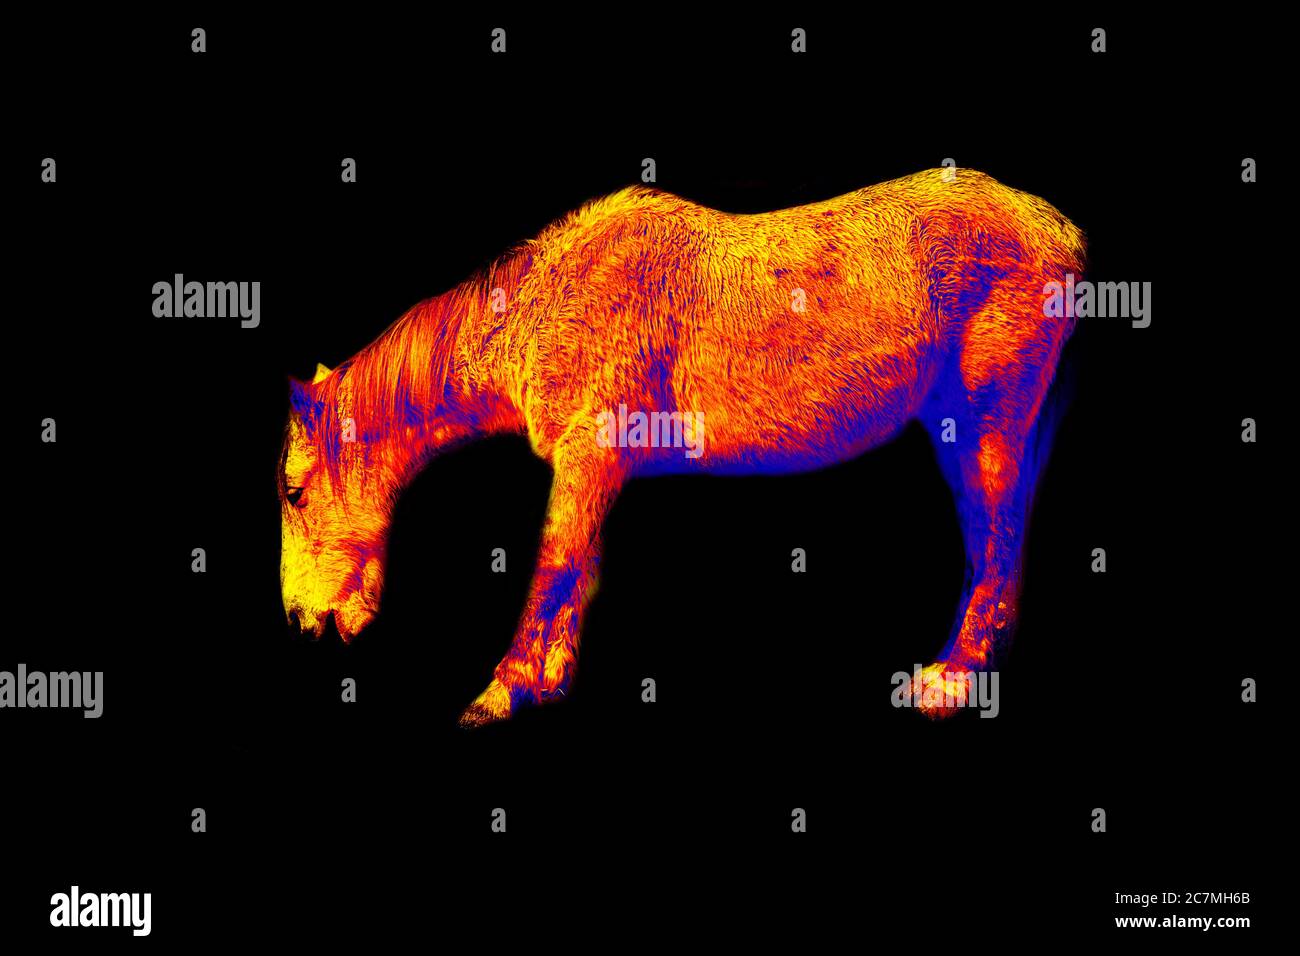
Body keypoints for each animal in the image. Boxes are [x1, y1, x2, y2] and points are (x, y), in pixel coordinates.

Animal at [279, 168, 1085, 726]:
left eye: (294, 493)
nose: (301, 621)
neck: (546, 302)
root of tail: (1059, 233)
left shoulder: (588, 455)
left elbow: (553, 565)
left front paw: (502, 690)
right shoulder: (600, 467)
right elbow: (578, 569)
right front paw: (549, 678)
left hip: (985, 423)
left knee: (996, 535)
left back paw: (952, 677)